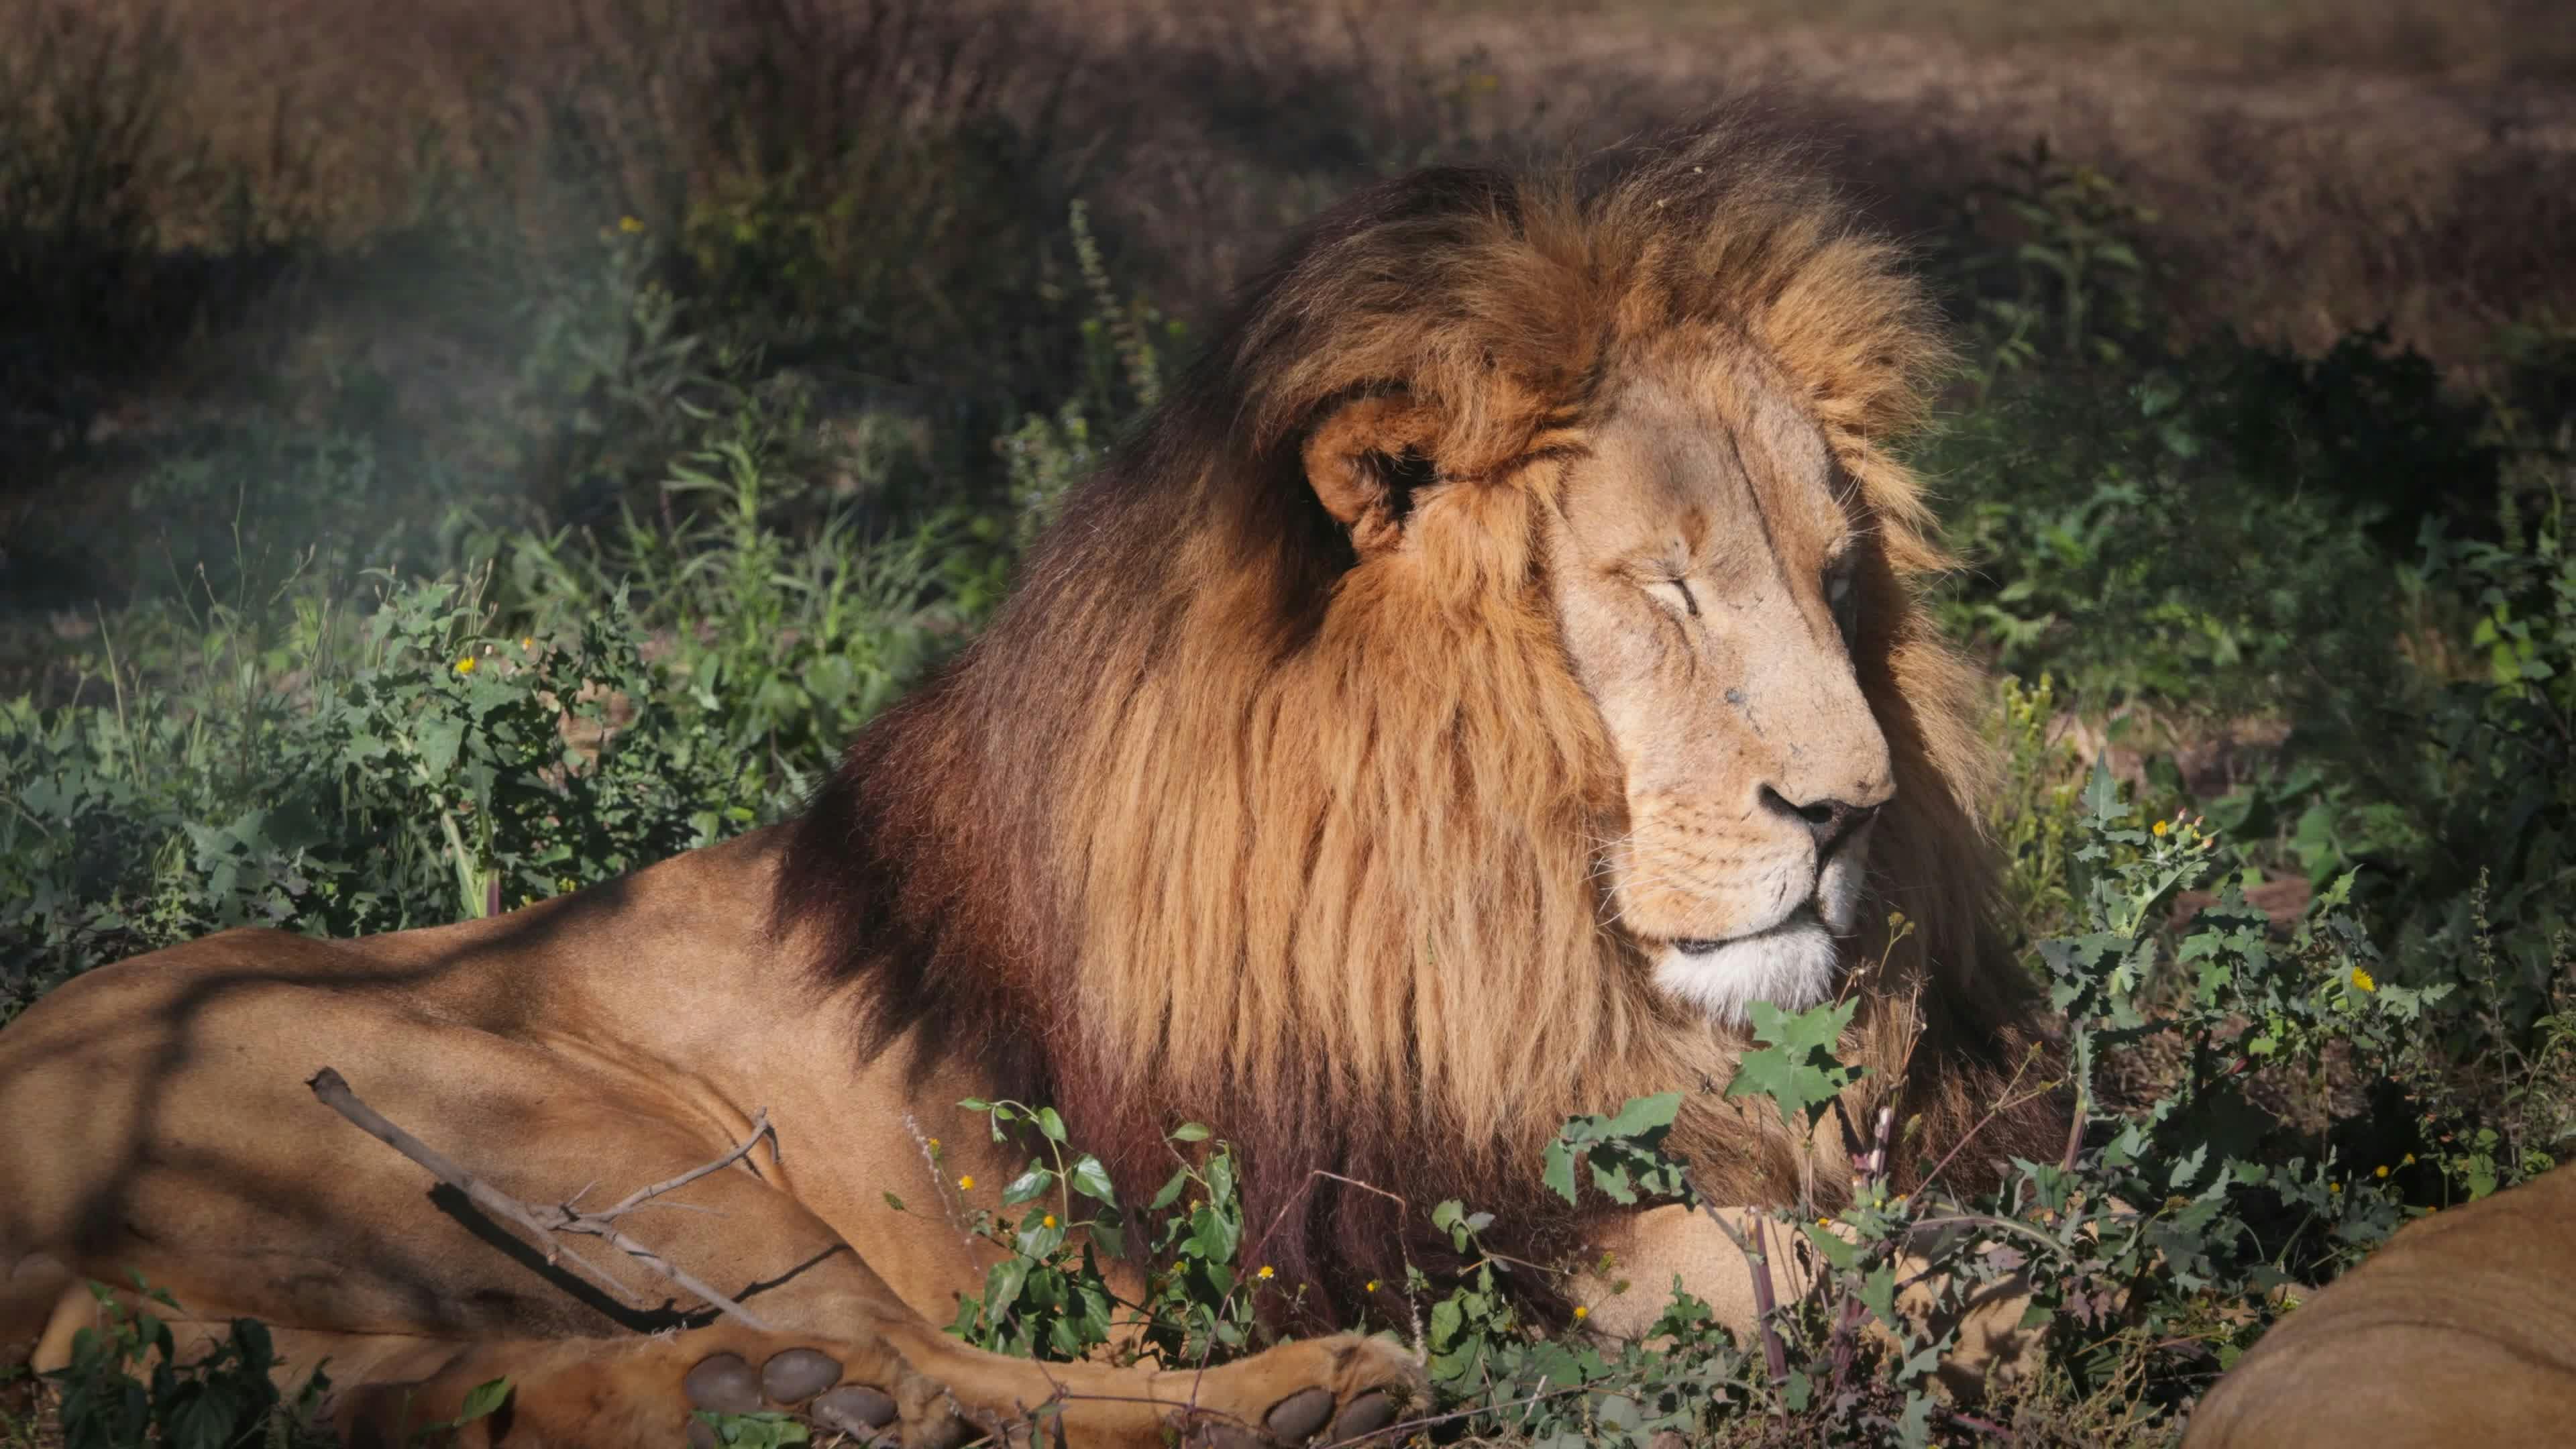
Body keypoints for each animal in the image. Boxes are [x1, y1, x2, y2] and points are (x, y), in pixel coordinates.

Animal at [0, 118, 2062, 1446]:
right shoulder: (1363, 1215)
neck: (1494, 889)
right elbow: (1753, 1253)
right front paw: (1978, 1286)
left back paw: (771, 1403)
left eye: (1840, 579)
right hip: (583, 1145)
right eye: (1660, 585)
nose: (1849, 810)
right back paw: (1271, 1406)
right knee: (906, 1350)